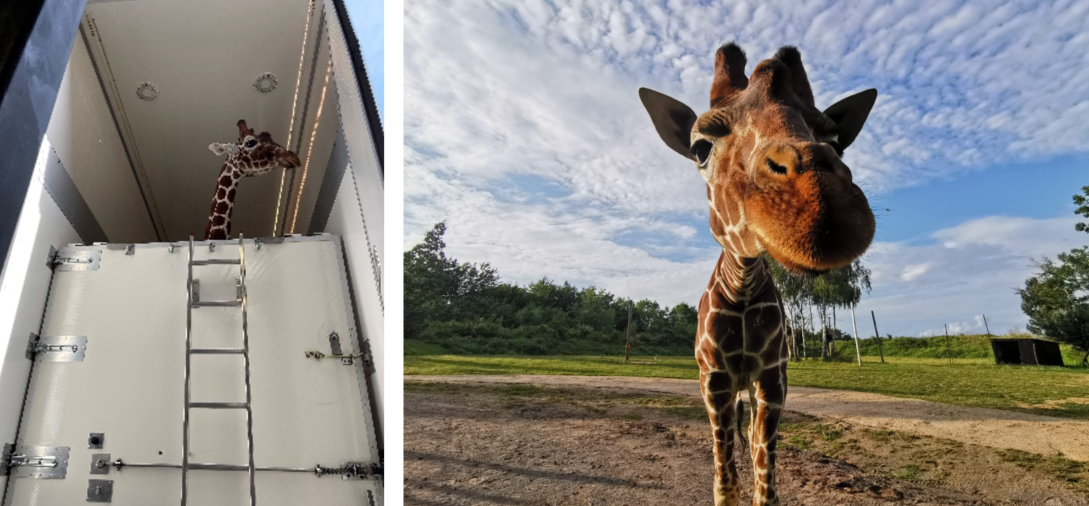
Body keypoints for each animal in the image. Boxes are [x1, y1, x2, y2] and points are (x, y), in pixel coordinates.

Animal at [638, 43, 878, 505]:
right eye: (700, 147)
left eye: (835, 141)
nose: (821, 205)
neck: (743, 286)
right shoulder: (713, 377)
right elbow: (724, 480)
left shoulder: (772, 376)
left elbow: (764, 477)